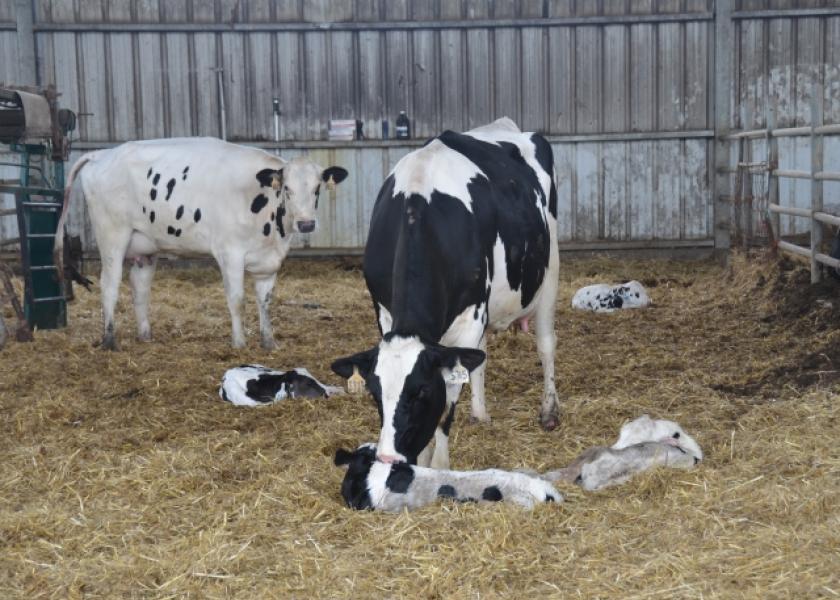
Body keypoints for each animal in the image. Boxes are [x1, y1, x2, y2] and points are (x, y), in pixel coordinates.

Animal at [53, 137, 348, 350]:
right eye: (287, 189)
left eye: (317, 189)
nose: (306, 224)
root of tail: (100, 154)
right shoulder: (230, 253)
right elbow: (237, 300)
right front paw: (239, 343)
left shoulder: (269, 261)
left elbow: (265, 301)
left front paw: (269, 342)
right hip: (112, 236)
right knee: (109, 285)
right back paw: (109, 340)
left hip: (145, 246)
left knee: (140, 288)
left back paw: (145, 335)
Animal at [331, 118, 560, 470]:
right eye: (374, 392)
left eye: (422, 392)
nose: (388, 456)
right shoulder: (384, 312)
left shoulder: (470, 316)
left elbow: (446, 406)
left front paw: (436, 465)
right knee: (481, 355)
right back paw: (480, 413)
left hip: (550, 266)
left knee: (546, 345)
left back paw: (549, 410)